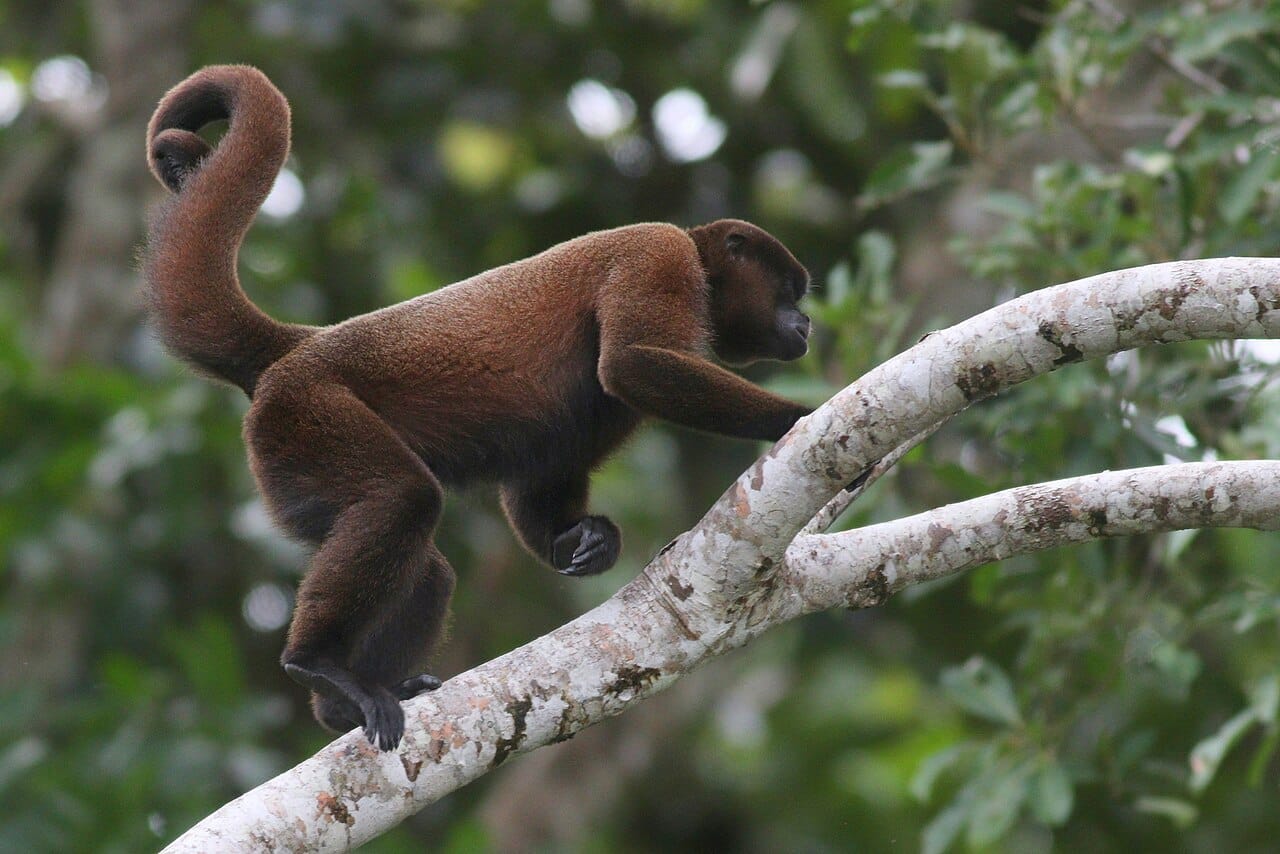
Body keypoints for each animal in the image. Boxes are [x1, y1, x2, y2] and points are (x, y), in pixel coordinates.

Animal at [143, 65, 814, 751]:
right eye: (790, 290)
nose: (808, 321)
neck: (701, 269)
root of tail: (302, 345)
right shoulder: (658, 255)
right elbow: (631, 366)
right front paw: (793, 417)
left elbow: (541, 477)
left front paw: (593, 539)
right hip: (304, 415)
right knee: (403, 498)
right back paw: (320, 666)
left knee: (428, 566)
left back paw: (340, 705)